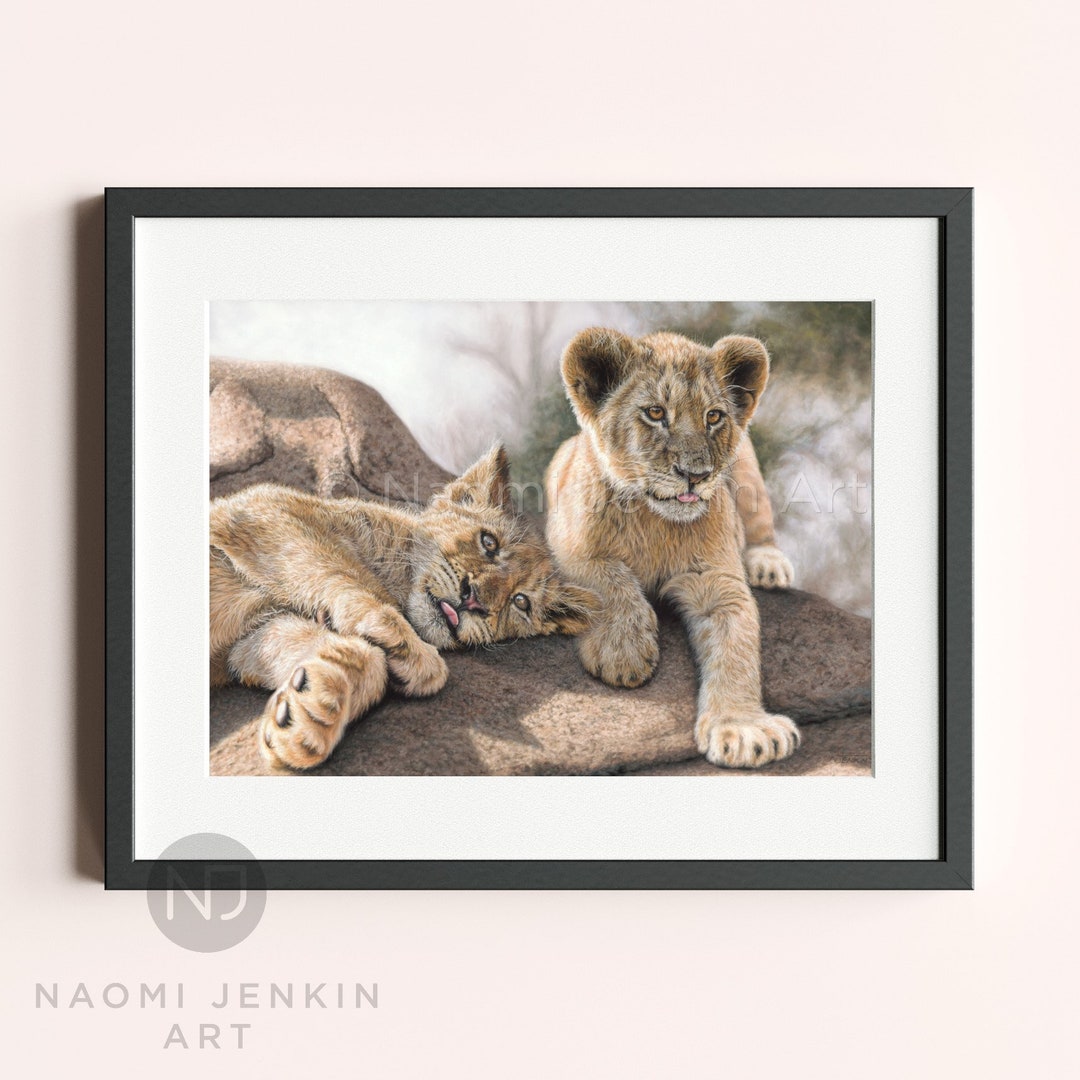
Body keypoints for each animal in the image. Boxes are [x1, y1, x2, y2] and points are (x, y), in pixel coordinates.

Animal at [211, 444, 596, 770]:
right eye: (488, 542)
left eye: (520, 601)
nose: (474, 599)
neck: (398, 583)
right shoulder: (260, 511)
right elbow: (332, 567)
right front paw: (411, 649)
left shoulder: (250, 637)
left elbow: (349, 654)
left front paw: (307, 715)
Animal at [544, 328, 798, 768]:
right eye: (655, 413)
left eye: (713, 416)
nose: (695, 475)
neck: (654, 523)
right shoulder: (565, 545)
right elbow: (607, 579)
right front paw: (624, 654)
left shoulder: (717, 583)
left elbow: (738, 648)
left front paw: (744, 729)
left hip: (748, 472)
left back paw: (769, 564)